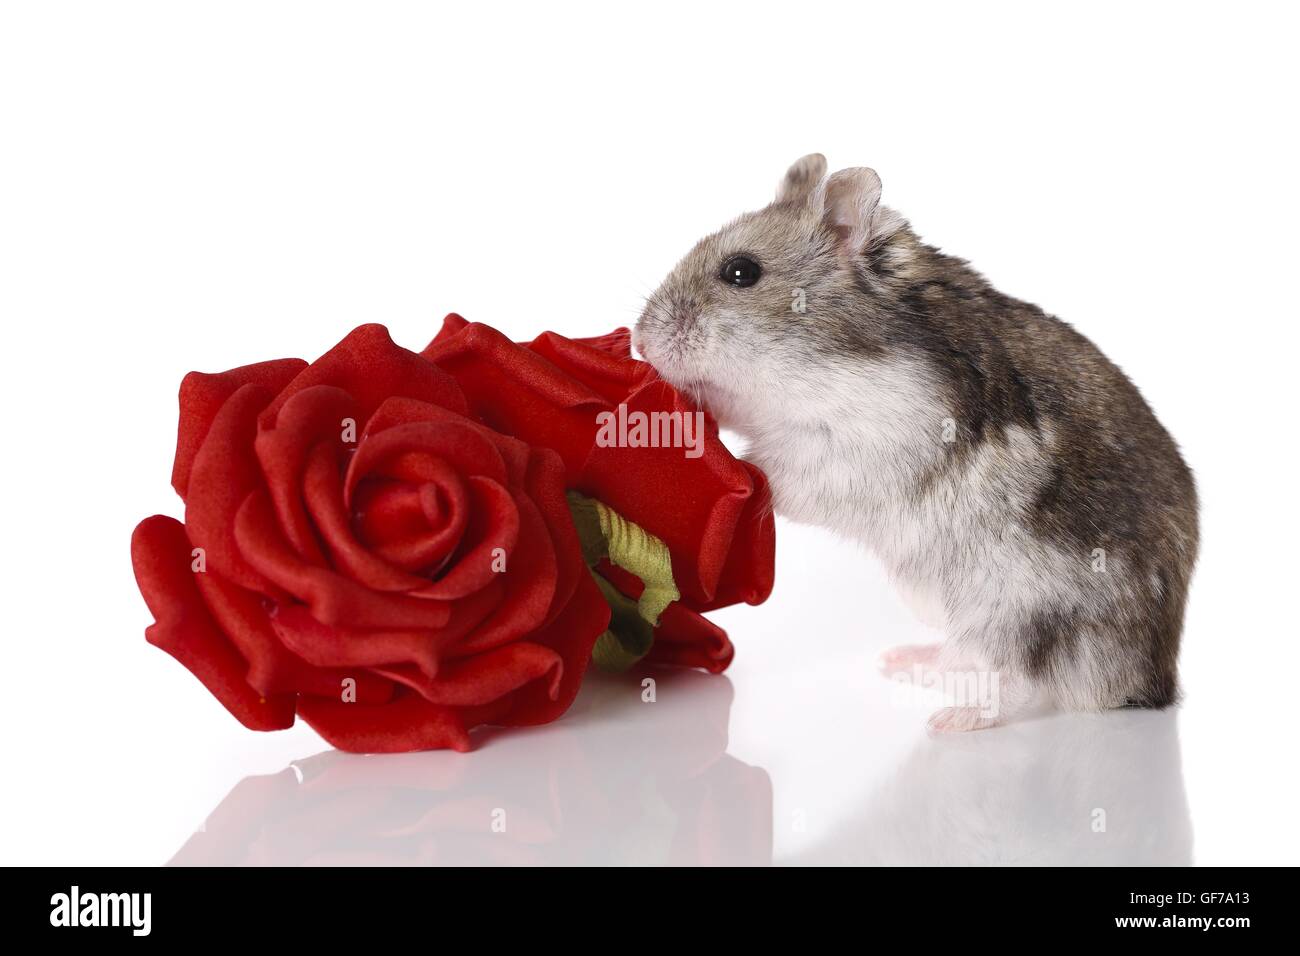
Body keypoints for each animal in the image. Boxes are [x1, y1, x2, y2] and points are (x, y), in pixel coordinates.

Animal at [633, 154, 1199, 732]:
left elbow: (769, 468)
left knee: (1017, 680)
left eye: (740, 272)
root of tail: (1150, 680)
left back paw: (953, 720)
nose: (639, 340)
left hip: (1017, 612)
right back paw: (903, 662)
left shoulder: (852, 450)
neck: (812, 361)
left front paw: (725, 461)